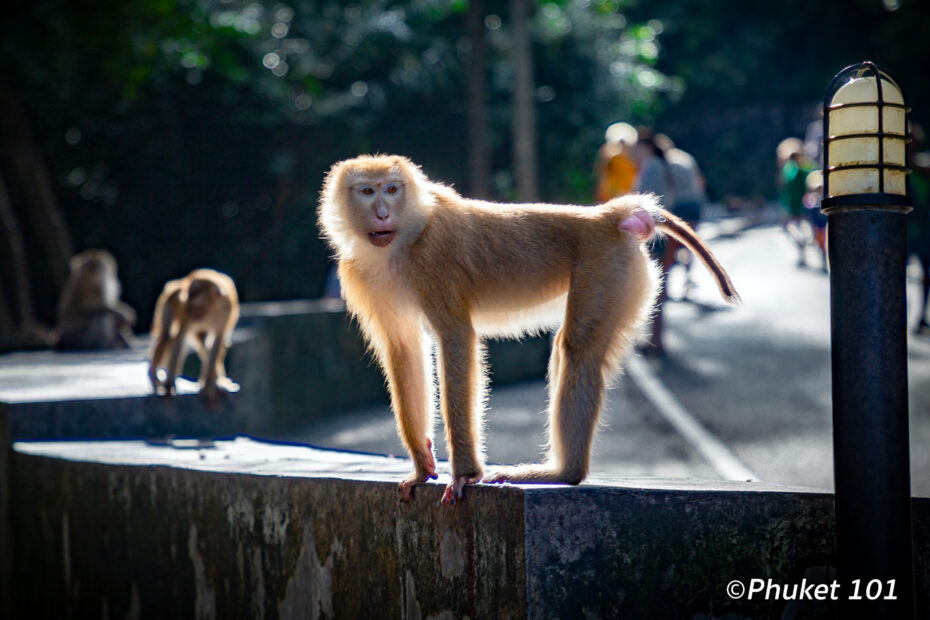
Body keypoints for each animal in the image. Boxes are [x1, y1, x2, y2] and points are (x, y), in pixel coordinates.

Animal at [148, 269, 240, 403]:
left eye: (197, 306)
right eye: (188, 305)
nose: (190, 313)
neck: (212, 310)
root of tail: (177, 283)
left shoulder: (226, 311)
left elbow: (217, 341)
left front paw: (209, 386)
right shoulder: (184, 312)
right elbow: (179, 338)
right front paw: (169, 385)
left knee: (205, 344)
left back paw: (215, 381)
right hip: (168, 302)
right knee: (167, 337)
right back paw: (153, 375)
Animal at [318, 154, 738, 505]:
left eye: (391, 189)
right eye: (367, 191)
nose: (382, 213)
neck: (403, 241)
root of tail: (607, 217)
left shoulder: (433, 260)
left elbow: (455, 338)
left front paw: (465, 474)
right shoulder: (362, 276)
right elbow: (403, 349)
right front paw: (422, 467)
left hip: (608, 268)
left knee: (577, 350)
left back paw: (563, 473)